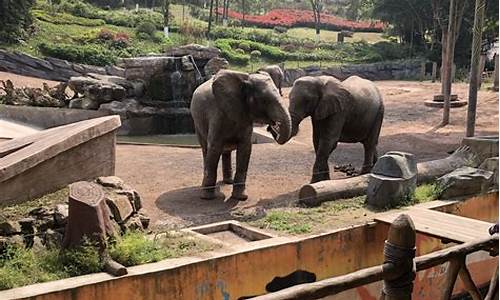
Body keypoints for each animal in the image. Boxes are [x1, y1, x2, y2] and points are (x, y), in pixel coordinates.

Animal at [191, 70, 292, 200]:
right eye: (264, 101)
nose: (272, 127)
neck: (244, 81)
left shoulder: (246, 116)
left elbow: (245, 149)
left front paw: (241, 197)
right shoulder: (217, 114)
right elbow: (214, 148)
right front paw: (207, 198)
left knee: (225, 151)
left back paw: (228, 182)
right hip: (197, 122)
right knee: (206, 149)